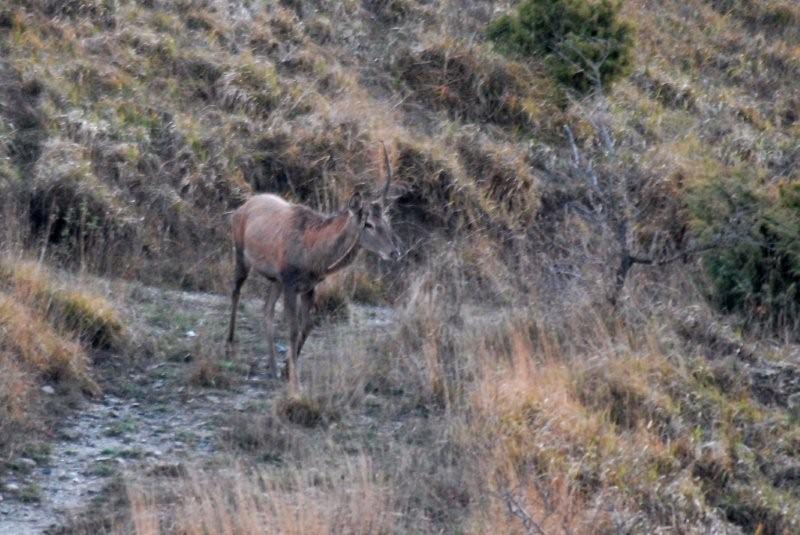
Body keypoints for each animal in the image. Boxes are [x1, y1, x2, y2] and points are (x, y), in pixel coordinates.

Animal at [226, 143, 402, 395]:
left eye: (386, 221)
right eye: (368, 224)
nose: (395, 252)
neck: (314, 257)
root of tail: (240, 208)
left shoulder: (308, 286)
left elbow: (307, 326)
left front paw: (287, 370)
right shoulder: (290, 281)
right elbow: (292, 328)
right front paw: (295, 383)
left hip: (275, 279)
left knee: (266, 309)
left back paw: (272, 368)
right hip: (240, 253)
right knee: (235, 291)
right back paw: (229, 346)